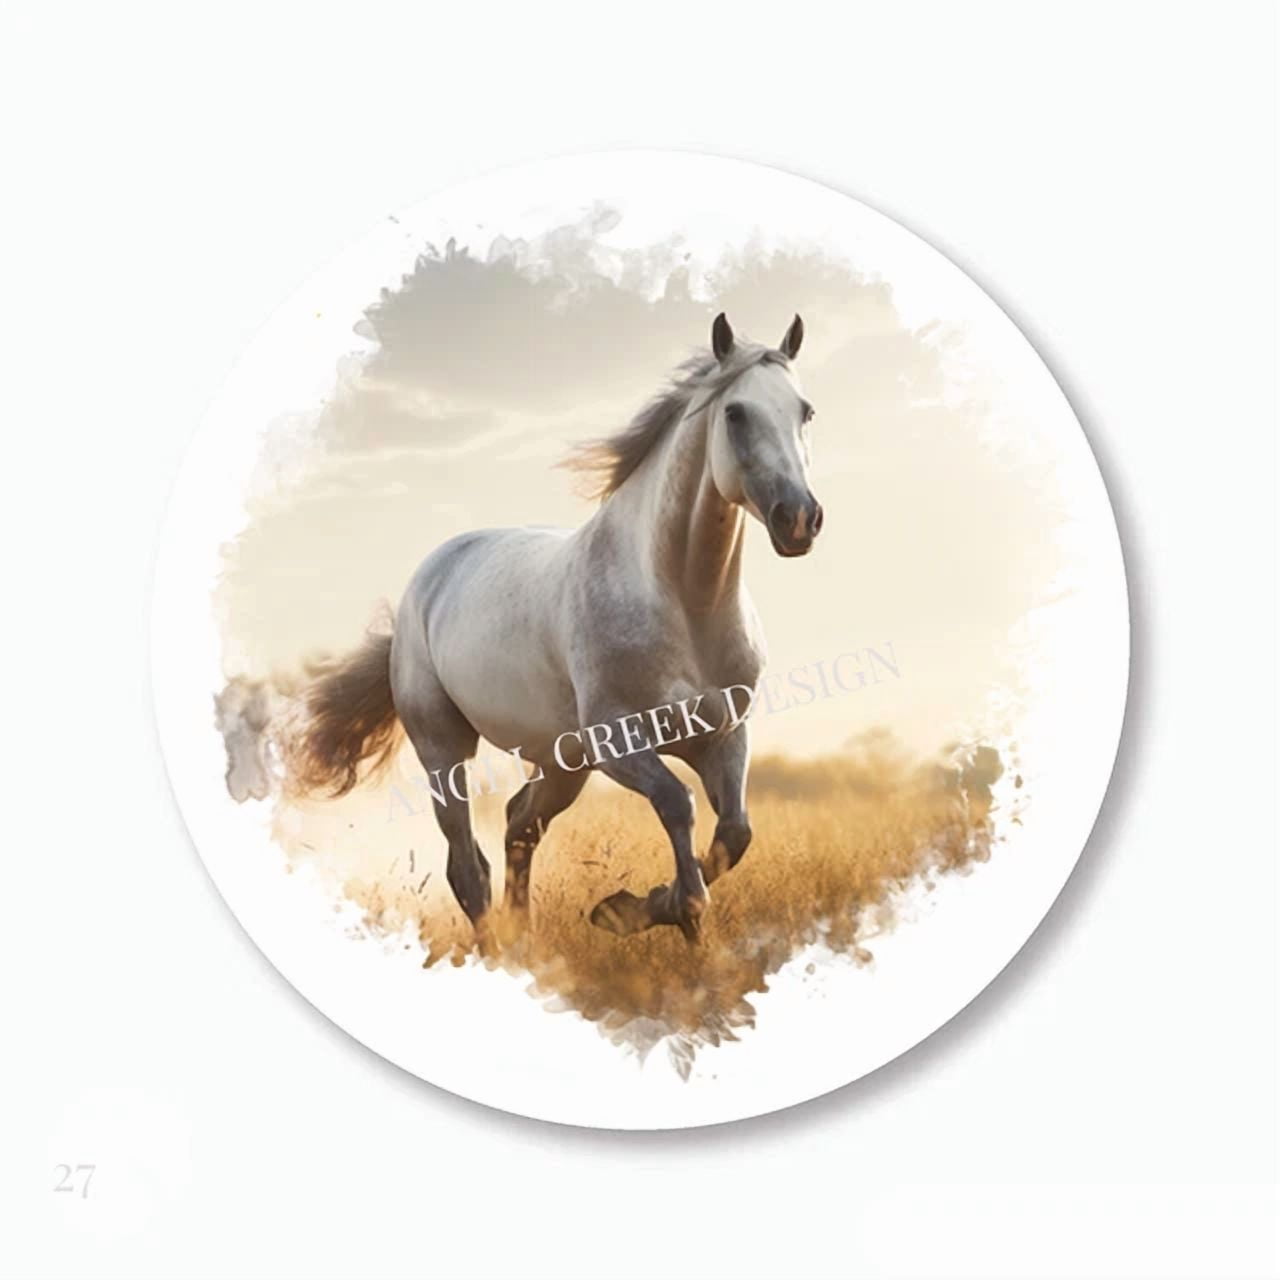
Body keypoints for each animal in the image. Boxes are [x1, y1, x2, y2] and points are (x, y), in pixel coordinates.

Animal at [290, 312, 823, 941]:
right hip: (444, 752)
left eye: (805, 411)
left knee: (520, 823)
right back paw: (503, 947)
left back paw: (529, 936)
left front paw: (630, 907)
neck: (682, 604)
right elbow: (678, 806)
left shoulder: (724, 737)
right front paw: (657, 909)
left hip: (560, 762)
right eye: (736, 413)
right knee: (467, 867)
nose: (800, 519)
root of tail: (428, 580)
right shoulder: (618, 743)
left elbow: (735, 833)